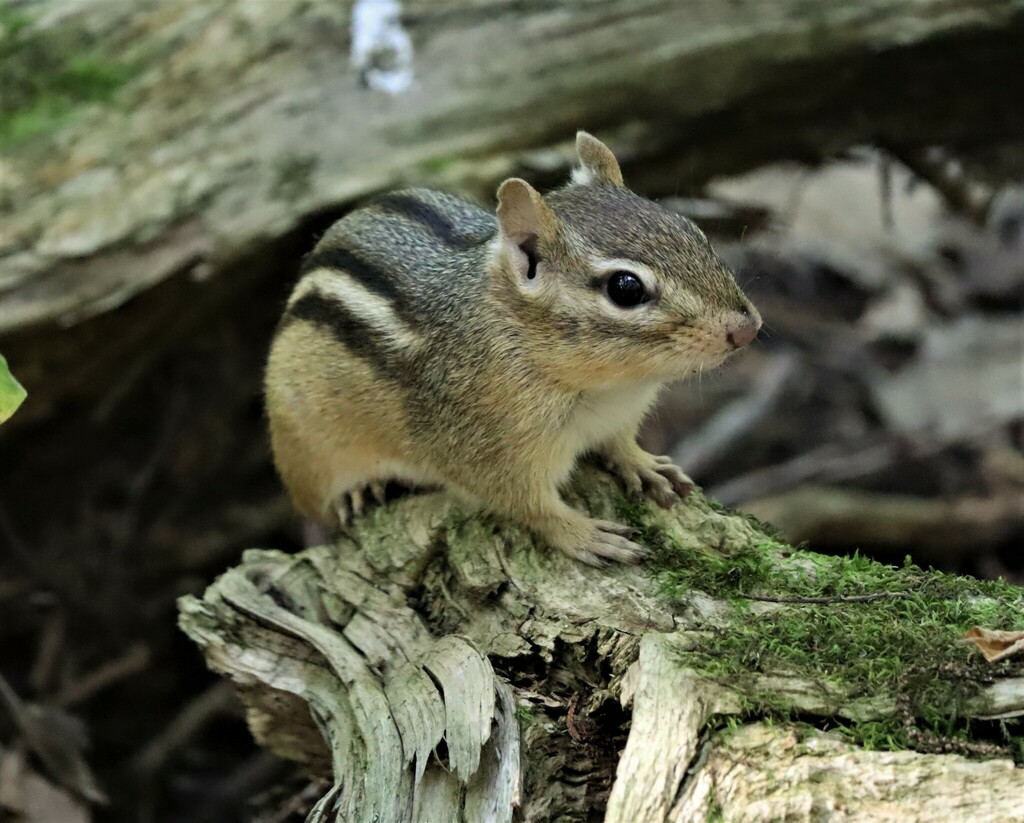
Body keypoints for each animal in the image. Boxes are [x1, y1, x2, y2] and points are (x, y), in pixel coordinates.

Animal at [265, 132, 761, 565]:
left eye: (692, 230)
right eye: (625, 288)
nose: (747, 329)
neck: (609, 388)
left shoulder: (619, 416)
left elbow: (620, 444)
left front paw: (644, 465)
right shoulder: (483, 453)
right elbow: (530, 507)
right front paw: (584, 535)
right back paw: (357, 491)